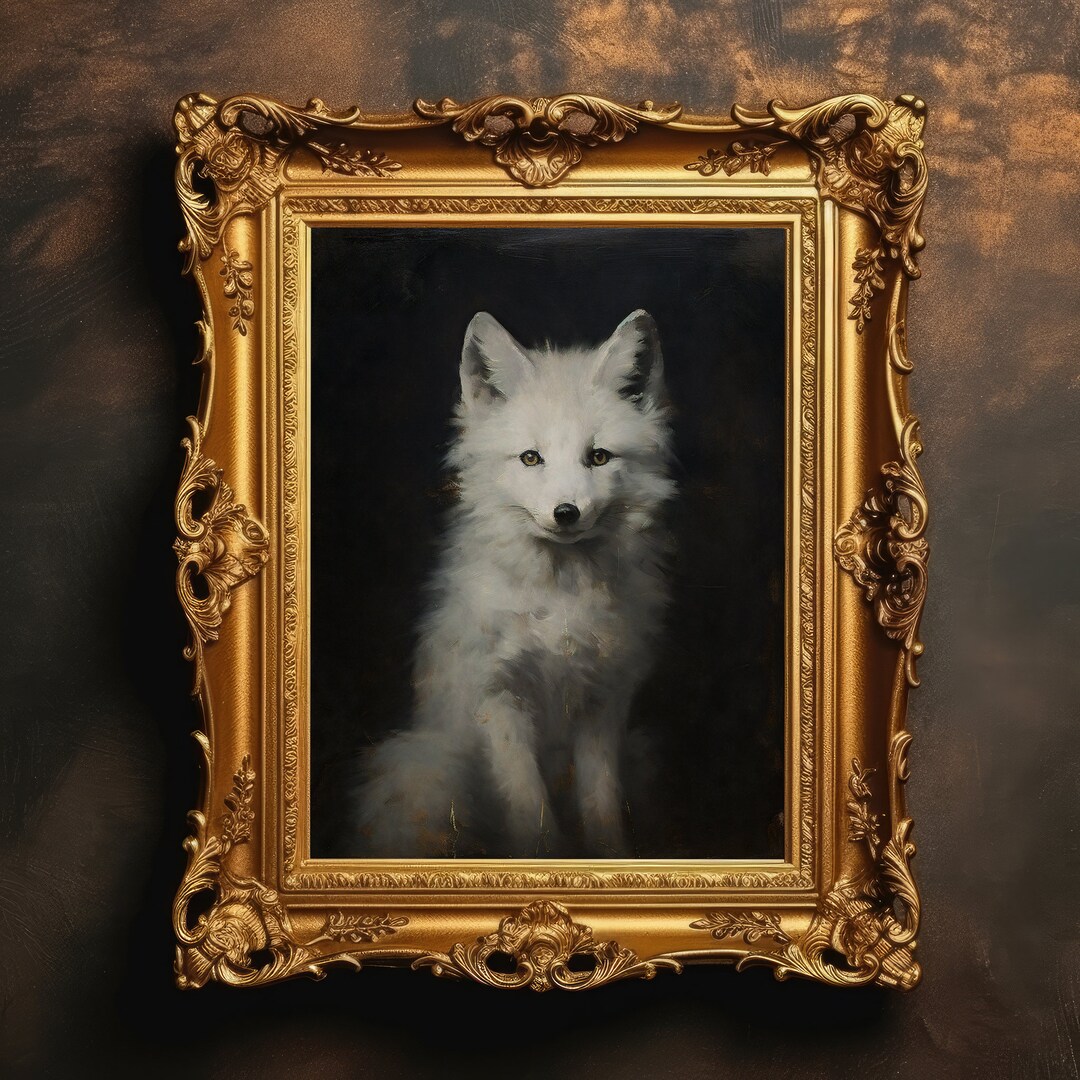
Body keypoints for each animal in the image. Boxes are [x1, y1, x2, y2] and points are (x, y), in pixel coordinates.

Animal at [354, 309, 676, 858]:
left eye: (599, 457)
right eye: (530, 458)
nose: (566, 514)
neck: (560, 603)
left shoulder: (602, 703)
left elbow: (602, 805)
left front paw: (612, 857)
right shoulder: (499, 701)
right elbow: (531, 813)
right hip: (426, 773)